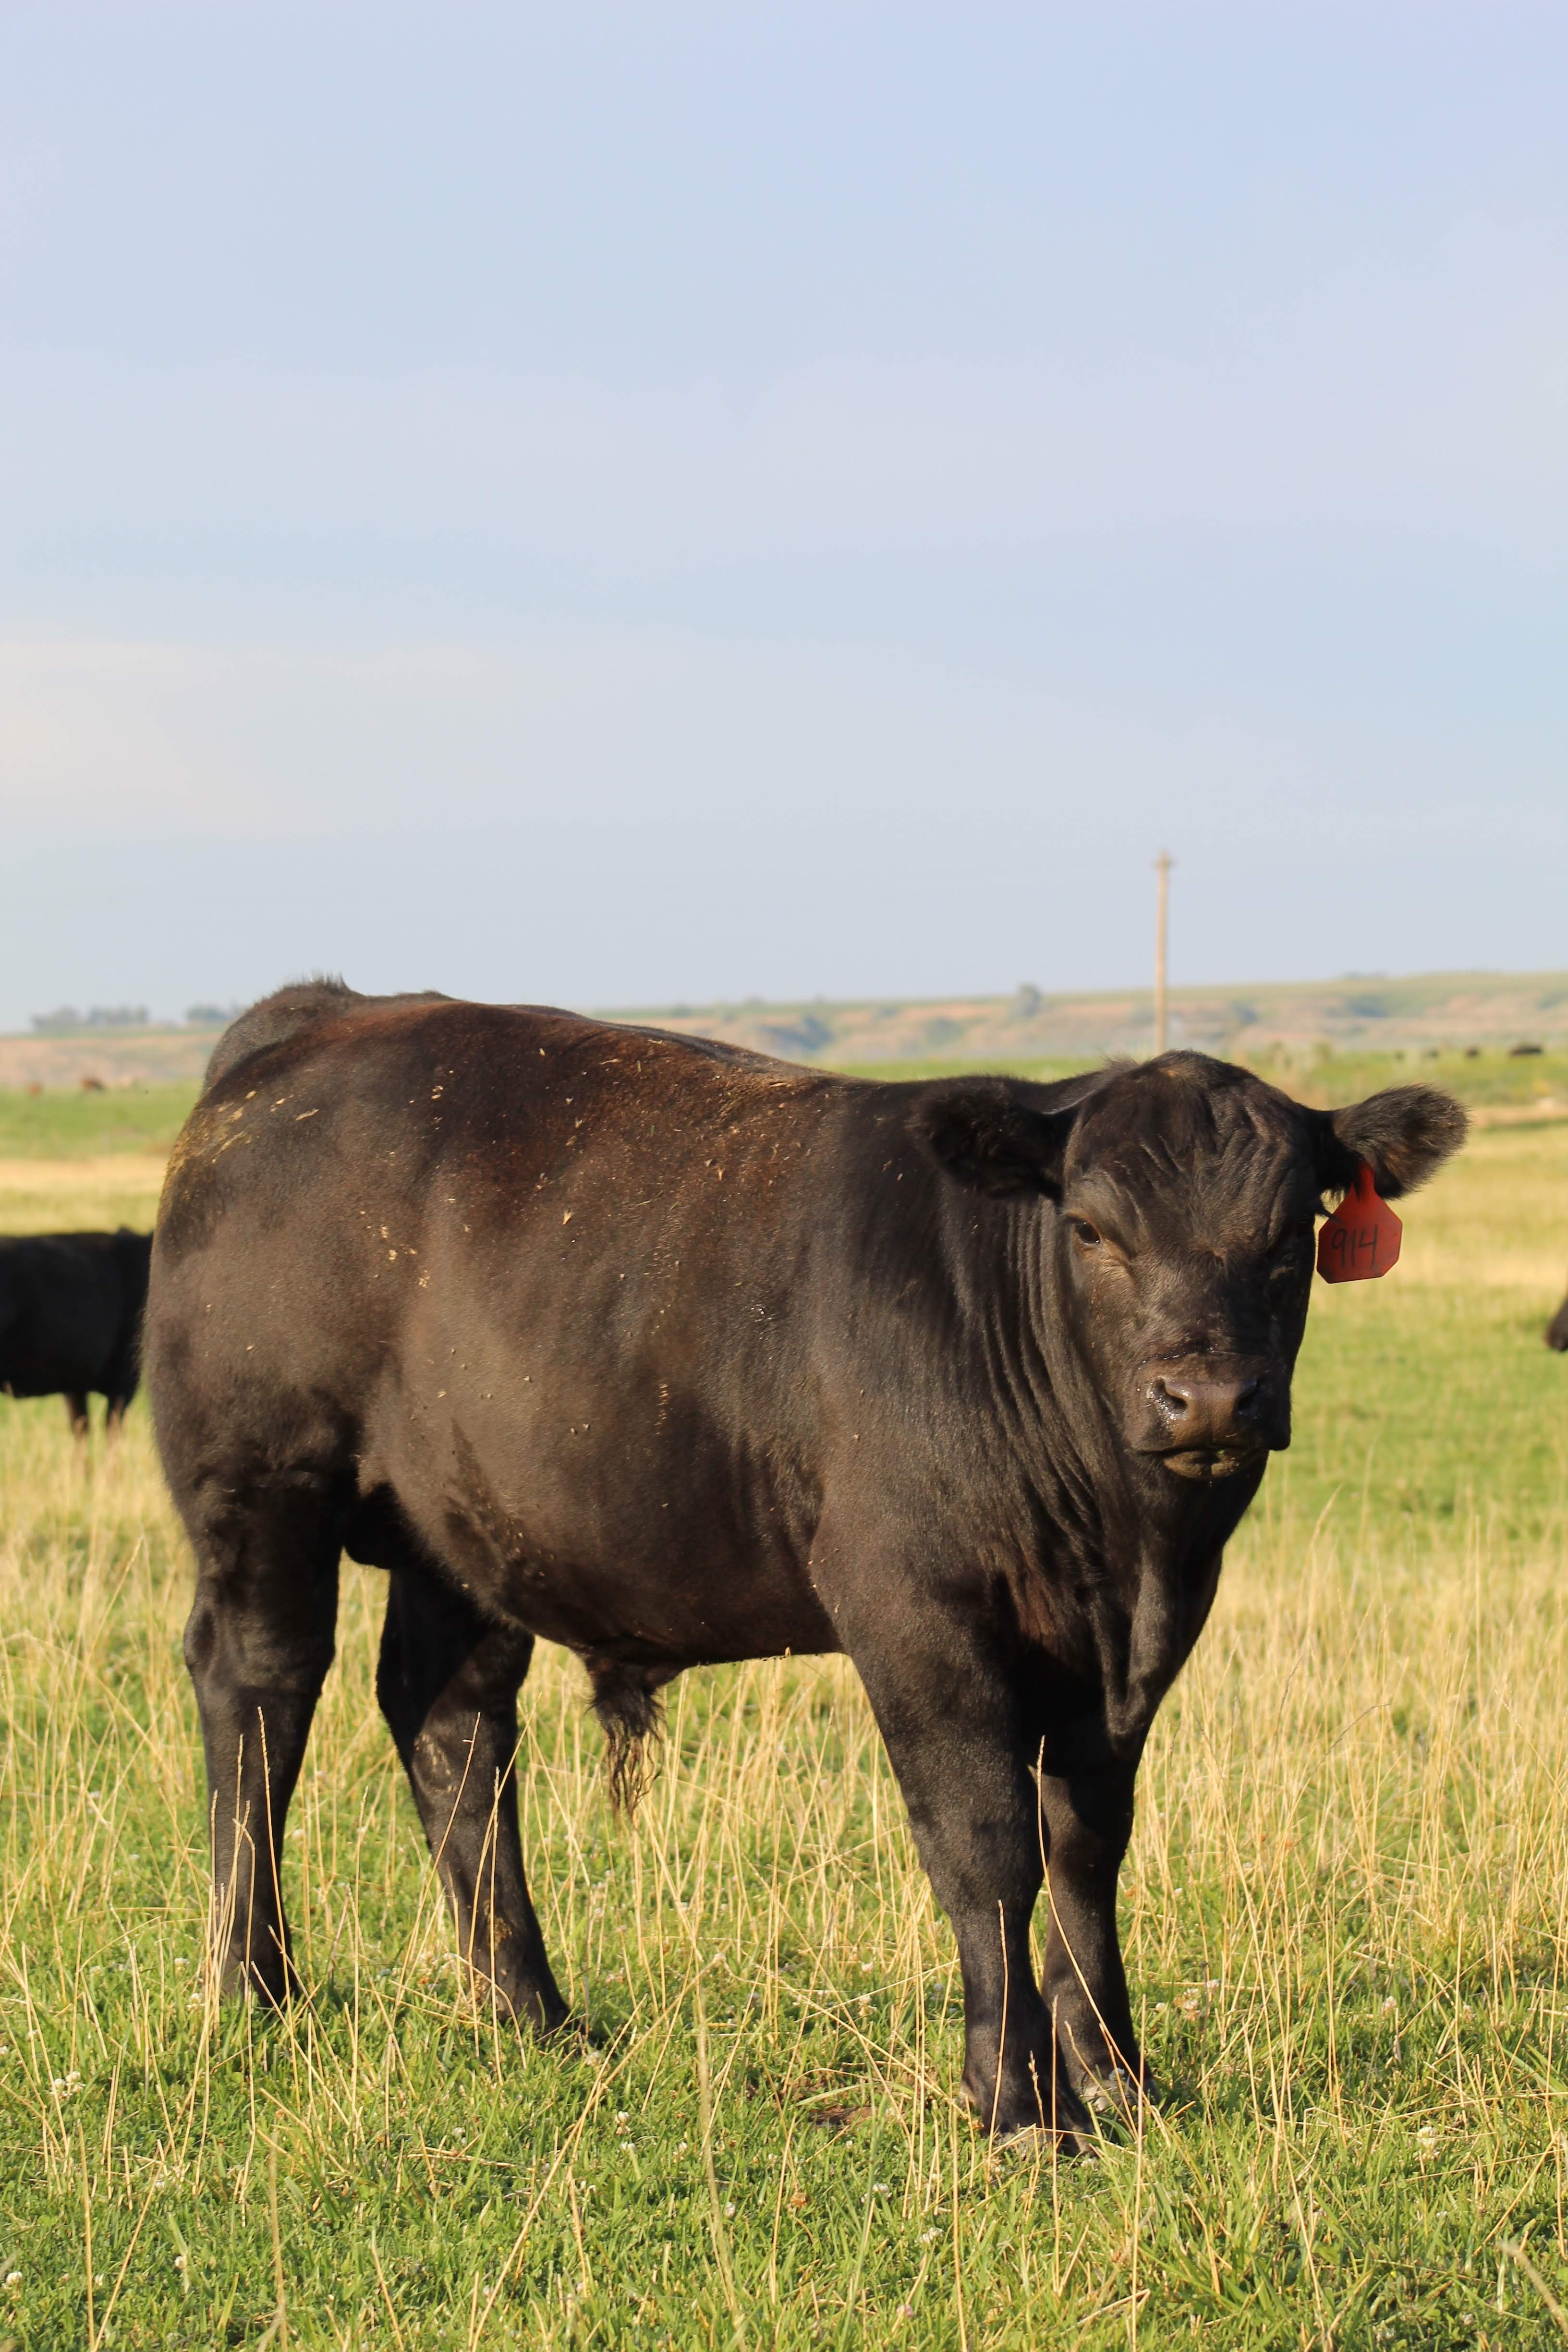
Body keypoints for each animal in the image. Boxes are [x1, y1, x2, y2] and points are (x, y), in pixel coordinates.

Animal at [145, 982, 1465, 2146]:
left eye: (1290, 1232)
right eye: (1091, 1228)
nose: (1208, 1398)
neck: (1123, 1539)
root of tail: (320, 1018)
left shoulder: (1132, 1649)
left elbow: (1086, 1848)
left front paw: (1118, 2079)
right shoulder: (915, 1610)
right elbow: (985, 1845)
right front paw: (1020, 2105)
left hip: (461, 1528)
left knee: (453, 1726)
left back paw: (533, 2010)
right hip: (263, 1482)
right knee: (258, 1691)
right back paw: (255, 1987)